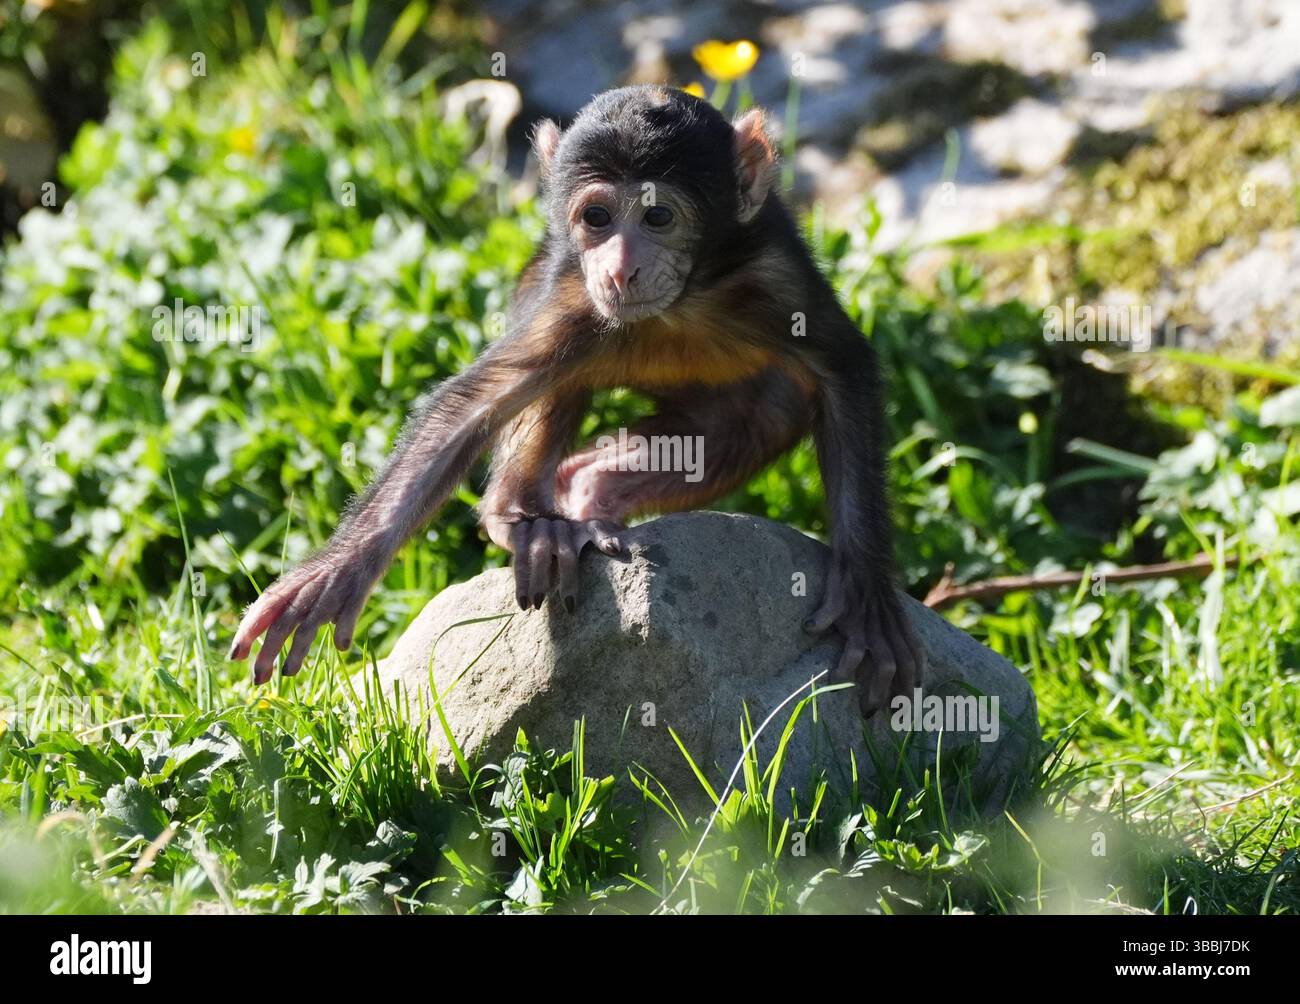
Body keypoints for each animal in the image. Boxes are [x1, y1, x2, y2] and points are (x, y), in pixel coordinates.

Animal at [229, 85, 924, 715]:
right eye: (597, 218)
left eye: (657, 217)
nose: (618, 268)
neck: (684, 301)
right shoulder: (569, 299)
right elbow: (467, 408)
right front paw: (335, 572)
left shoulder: (774, 277)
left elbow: (845, 372)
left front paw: (866, 593)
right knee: (554, 387)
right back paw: (530, 521)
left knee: (761, 413)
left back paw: (591, 489)